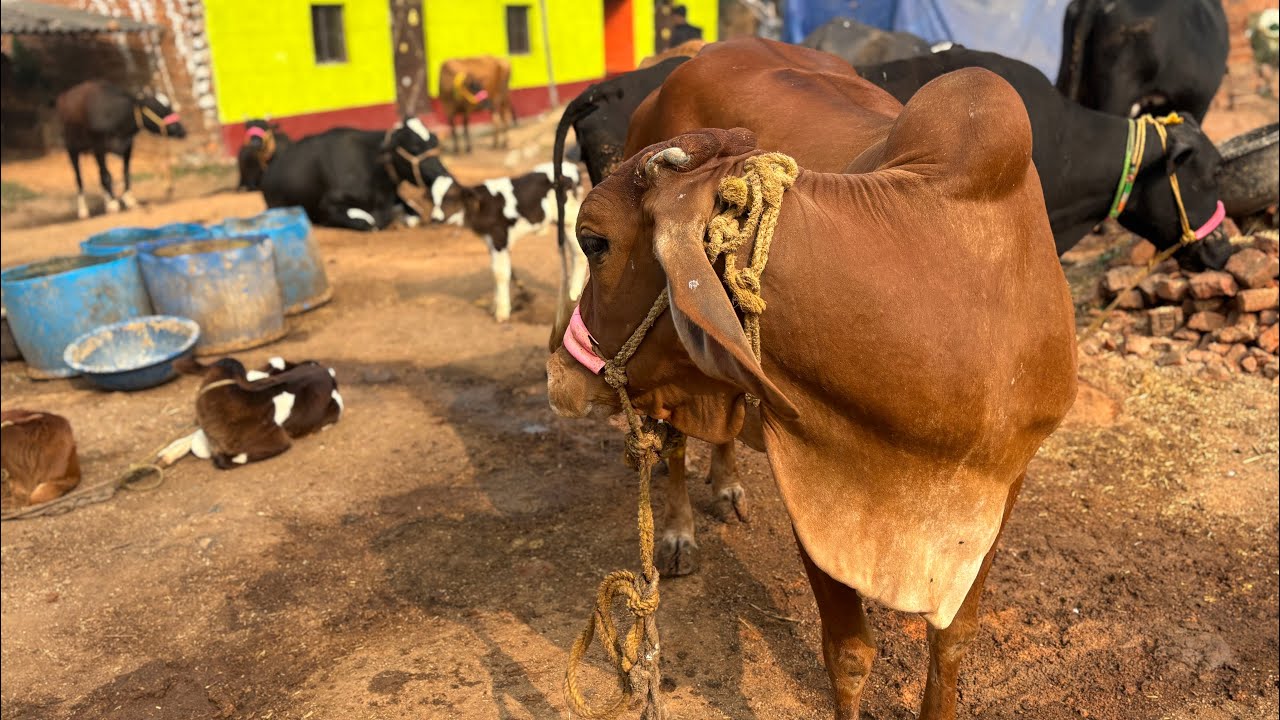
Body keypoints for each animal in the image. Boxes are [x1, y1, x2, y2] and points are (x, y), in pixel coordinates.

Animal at [55, 81, 187, 220]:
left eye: (169, 105)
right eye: (157, 108)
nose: (182, 130)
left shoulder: (128, 145)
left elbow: (125, 172)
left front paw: (128, 200)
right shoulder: (98, 146)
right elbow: (106, 176)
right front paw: (114, 203)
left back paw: (107, 201)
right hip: (72, 148)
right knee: (79, 178)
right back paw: (84, 210)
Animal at [259, 116, 448, 231]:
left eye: (434, 141)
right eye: (414, 148)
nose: (443, 174)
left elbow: (413, 214)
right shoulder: (327, 205)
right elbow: (370, 222)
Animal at [428, 162, 585, 322]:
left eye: (450, 198)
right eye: (433, 199)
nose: (434, 219)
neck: (482, 205)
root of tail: (571, 167)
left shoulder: (499, 238)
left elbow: (501, 273)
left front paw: (502, 311)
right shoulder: (490, 241)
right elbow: (494, 270)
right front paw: (494, 306)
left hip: (570, 219)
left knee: (579, 254)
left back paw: (573, 293)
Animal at [548, 119, 1077, 718]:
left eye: (593, 241)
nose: (558, 370)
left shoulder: (1003, 486)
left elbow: (953, 636)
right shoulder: (809, 477)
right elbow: (848, 653)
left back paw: (726, 486)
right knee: (679, 447)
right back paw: (681, 533)